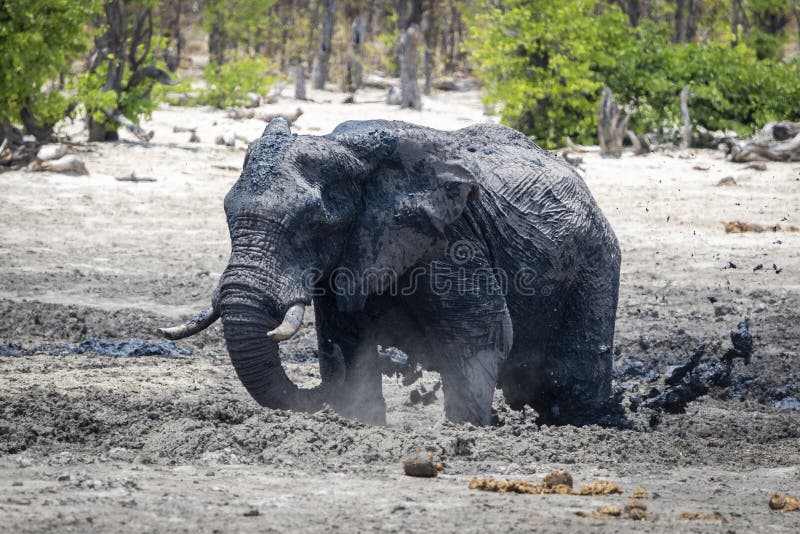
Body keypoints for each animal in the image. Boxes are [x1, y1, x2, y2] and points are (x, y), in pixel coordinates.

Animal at [160, 117, 621, 427]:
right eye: (226, 212)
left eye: (312, 222)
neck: (352, 155)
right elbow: (348, 339)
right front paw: (364, 424)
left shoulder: (450, 240)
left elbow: (480, 335)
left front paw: (461, 432)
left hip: (595, 260)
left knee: (573, 374)